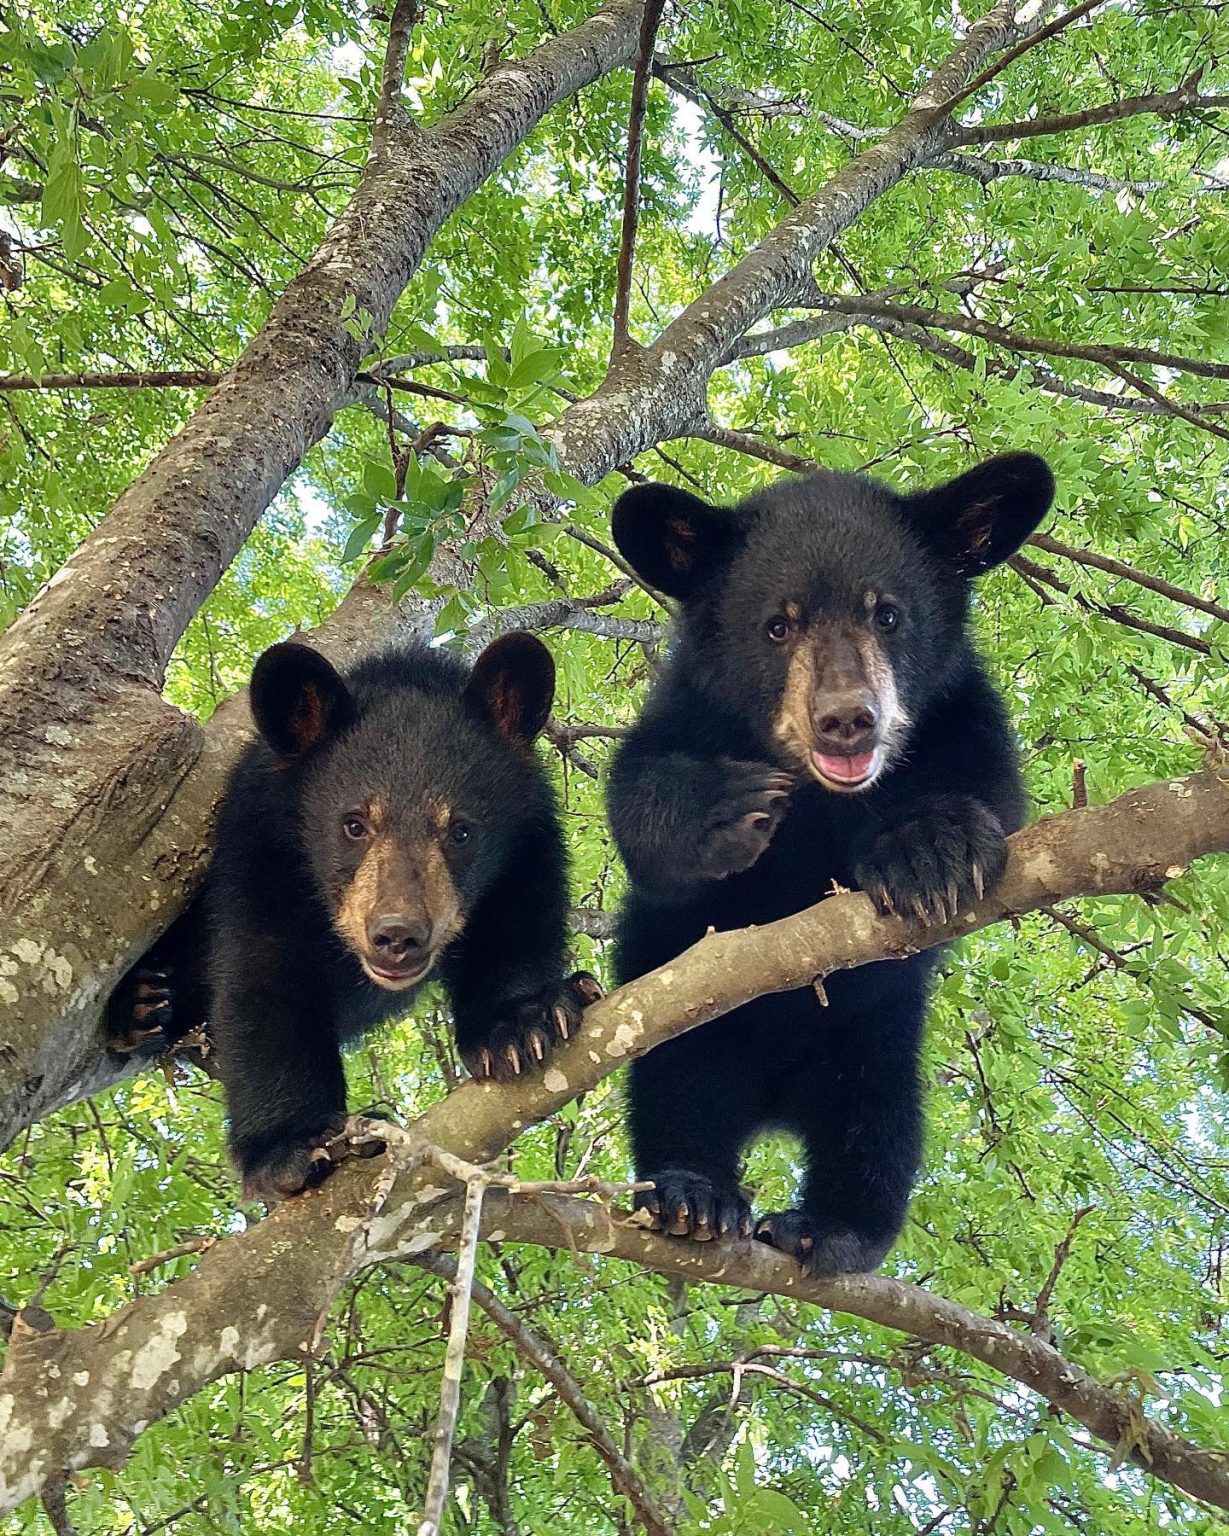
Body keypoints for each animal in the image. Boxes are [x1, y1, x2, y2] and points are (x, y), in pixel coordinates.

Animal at [106, 632, 598, 1202]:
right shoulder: (261, 851)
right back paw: (141, 1004)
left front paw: (522, 1026)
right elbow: (265, 980)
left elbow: (516, 927)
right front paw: (291, 1149)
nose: (397, 935)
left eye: (461, 831)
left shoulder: (525, 849)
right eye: (354, 824)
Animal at [605, 452, 1054, 1277]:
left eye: (887, 615)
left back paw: (830, 1227)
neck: (822, 799)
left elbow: (992, 788)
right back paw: (692, 1195)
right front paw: (728, 808)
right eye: (777, 624)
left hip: (875, 1038)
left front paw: (927, 850)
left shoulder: (957, 708)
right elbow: (640, 807)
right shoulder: (688, 710)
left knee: (876, 1125)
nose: (847, 718)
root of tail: (774, 1108)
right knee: (677, 1093)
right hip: (681, 1026)